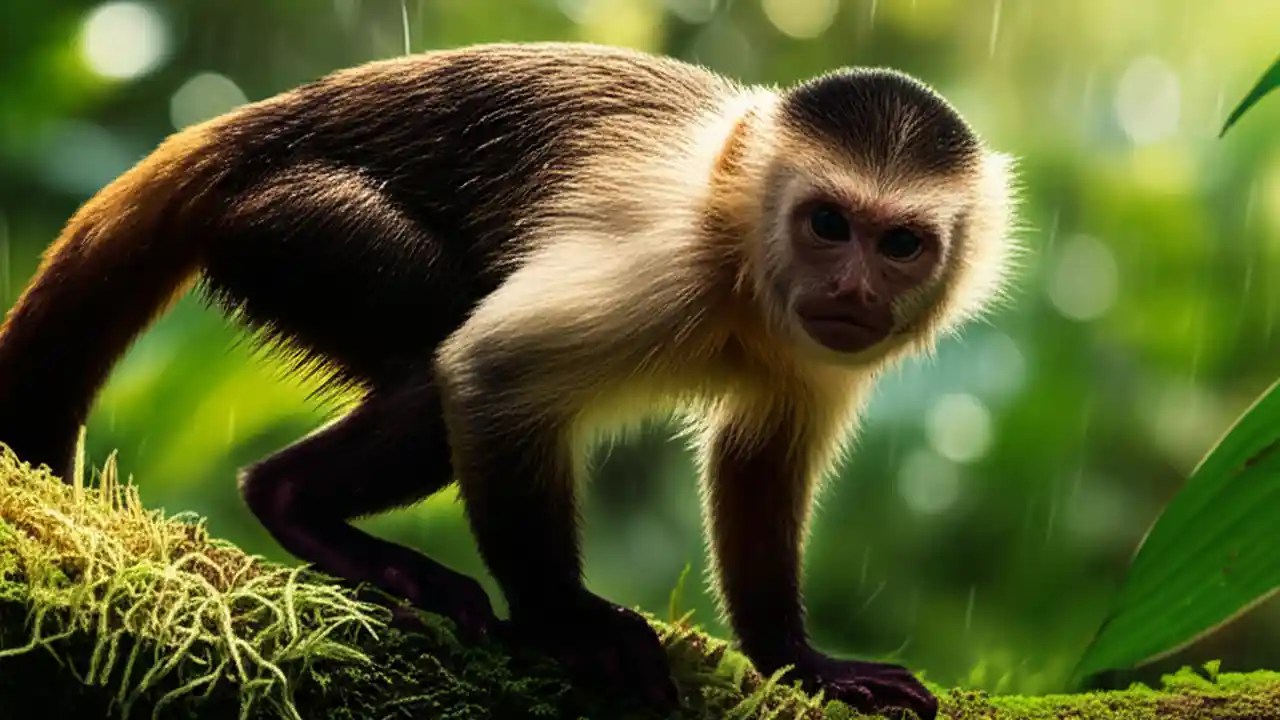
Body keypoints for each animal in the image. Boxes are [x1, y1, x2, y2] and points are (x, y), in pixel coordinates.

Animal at [0, 42, 1017, 719]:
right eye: (827, 225)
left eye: (898, 244)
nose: (851, 289)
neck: (741, 265)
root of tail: (245, 129)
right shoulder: (664, 262)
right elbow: (489, 373)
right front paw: (568, 622)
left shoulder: (823, 354)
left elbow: (760, 464)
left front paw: (797, 659)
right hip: (286, 223)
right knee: (430, 369)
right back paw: (295, 506)